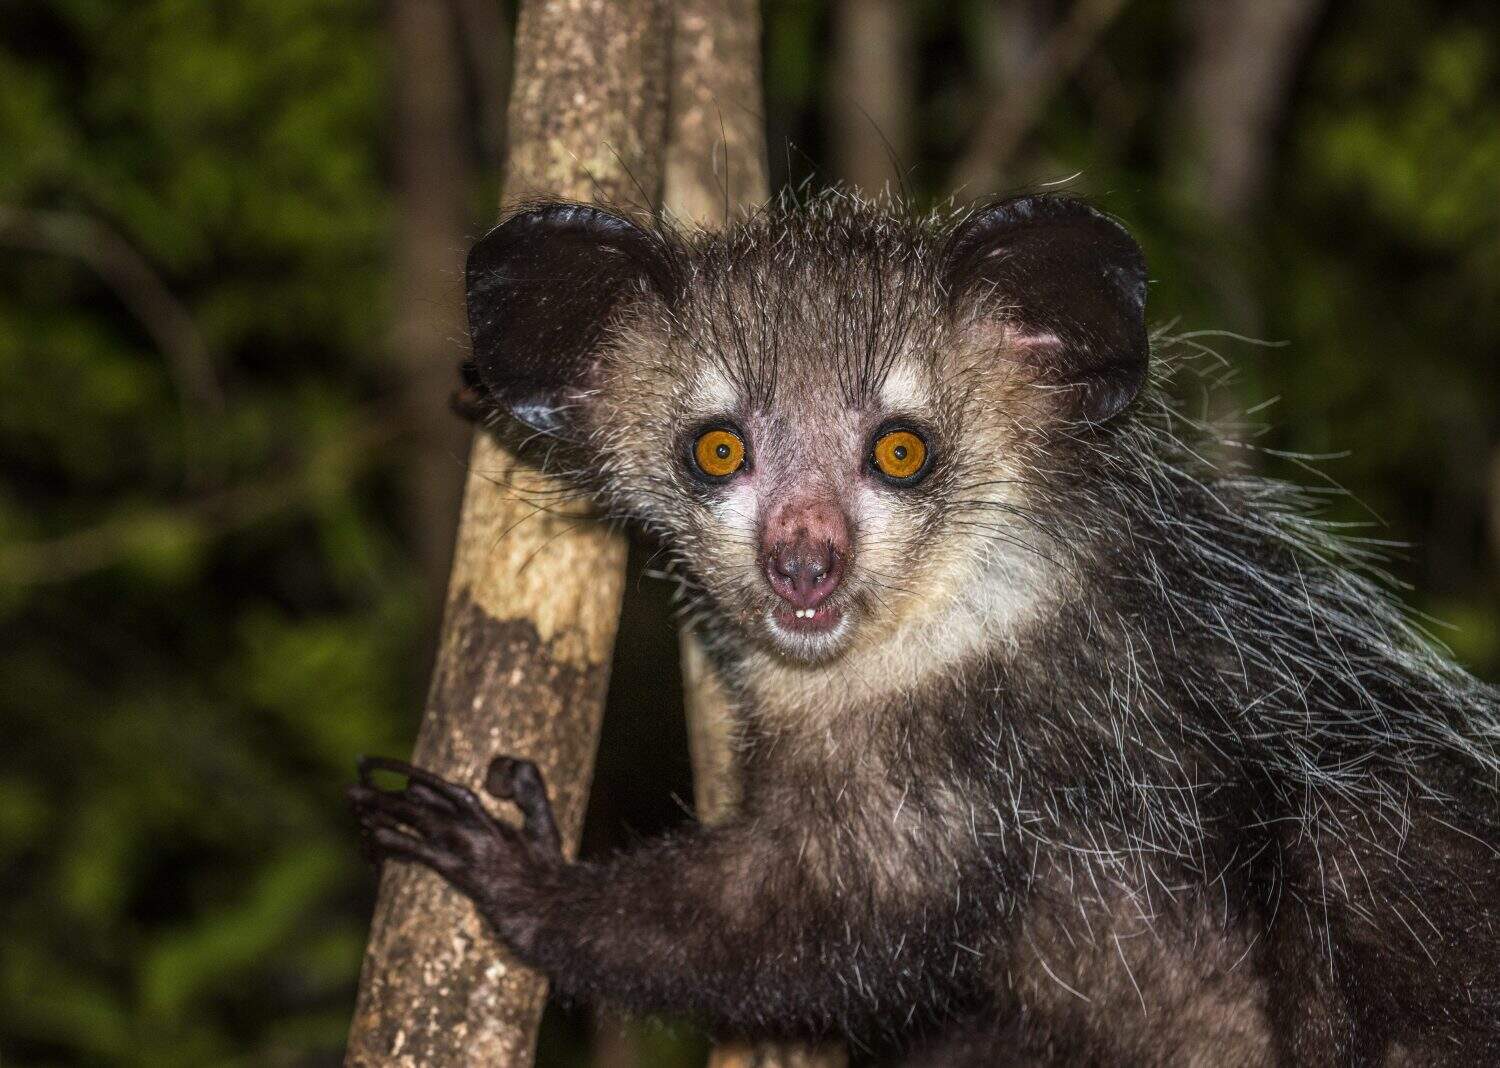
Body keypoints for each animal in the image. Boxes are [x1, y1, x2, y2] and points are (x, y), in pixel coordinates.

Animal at [349, 192, 1500, 1065]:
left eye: (902, 452)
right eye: (717, 450)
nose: (803, 565)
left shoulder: (971, 769)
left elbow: (800, 928)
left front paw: (514, 870)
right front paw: (483, 392)